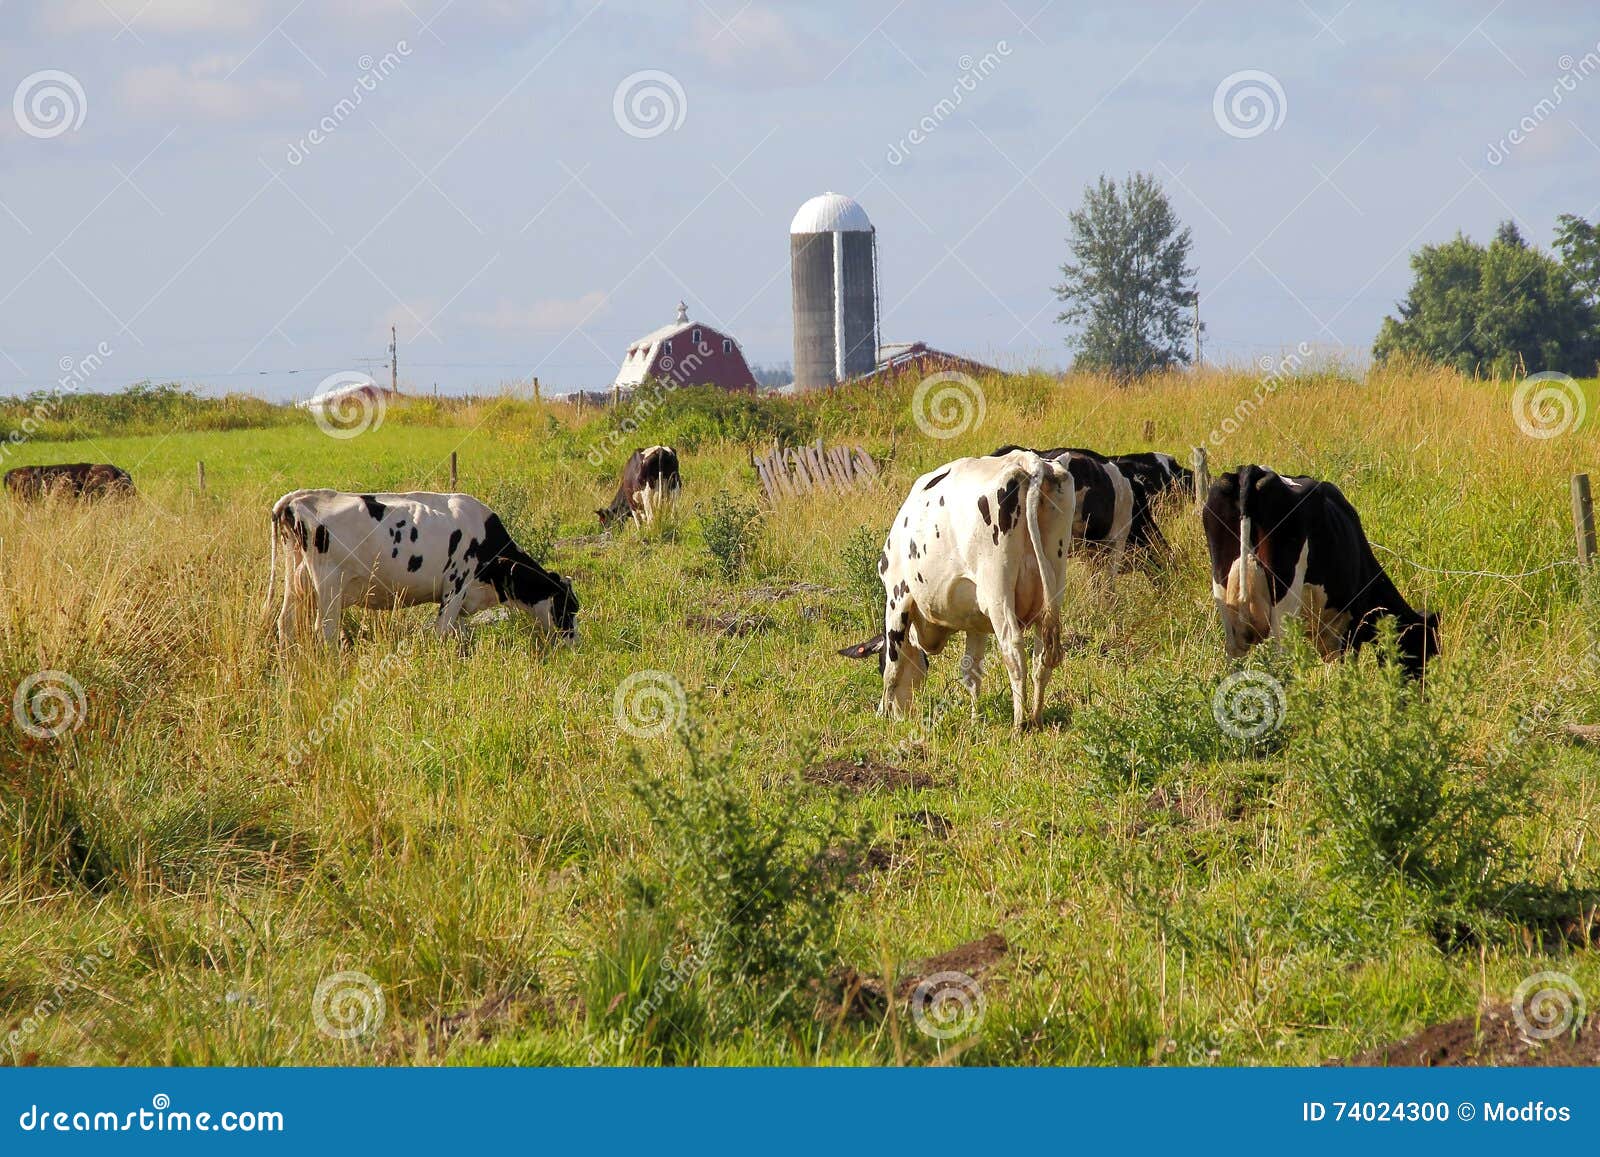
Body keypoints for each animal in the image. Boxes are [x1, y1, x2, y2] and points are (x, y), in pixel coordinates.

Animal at [269, 489, 578, 647]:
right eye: (568, 608)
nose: (574, 644)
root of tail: (302, 498)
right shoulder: (456, 585)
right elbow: (442, 631)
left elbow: (460, 635)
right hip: (329, 585)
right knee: (326, 629)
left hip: (297, 581)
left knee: (285, 623)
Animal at [837, 450, 1077, 729]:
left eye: (876, 663)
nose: (902, 715)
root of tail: (1028, 461)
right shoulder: (976, 621)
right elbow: (971, 673)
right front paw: (975, 720)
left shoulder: (897, 598)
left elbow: (892, 669)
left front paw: (881, 715)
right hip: (1053, 587)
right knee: (1042, 657)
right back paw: (1036, 719)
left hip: (998, 590)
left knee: (1014, 651)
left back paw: (1019, 724)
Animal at [1201, 465, 1439, 676]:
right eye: (1426, 649)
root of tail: (1250, 470)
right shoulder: (1349, 625)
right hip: (1284, 602)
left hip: (1225, 600)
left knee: (1234, 659)